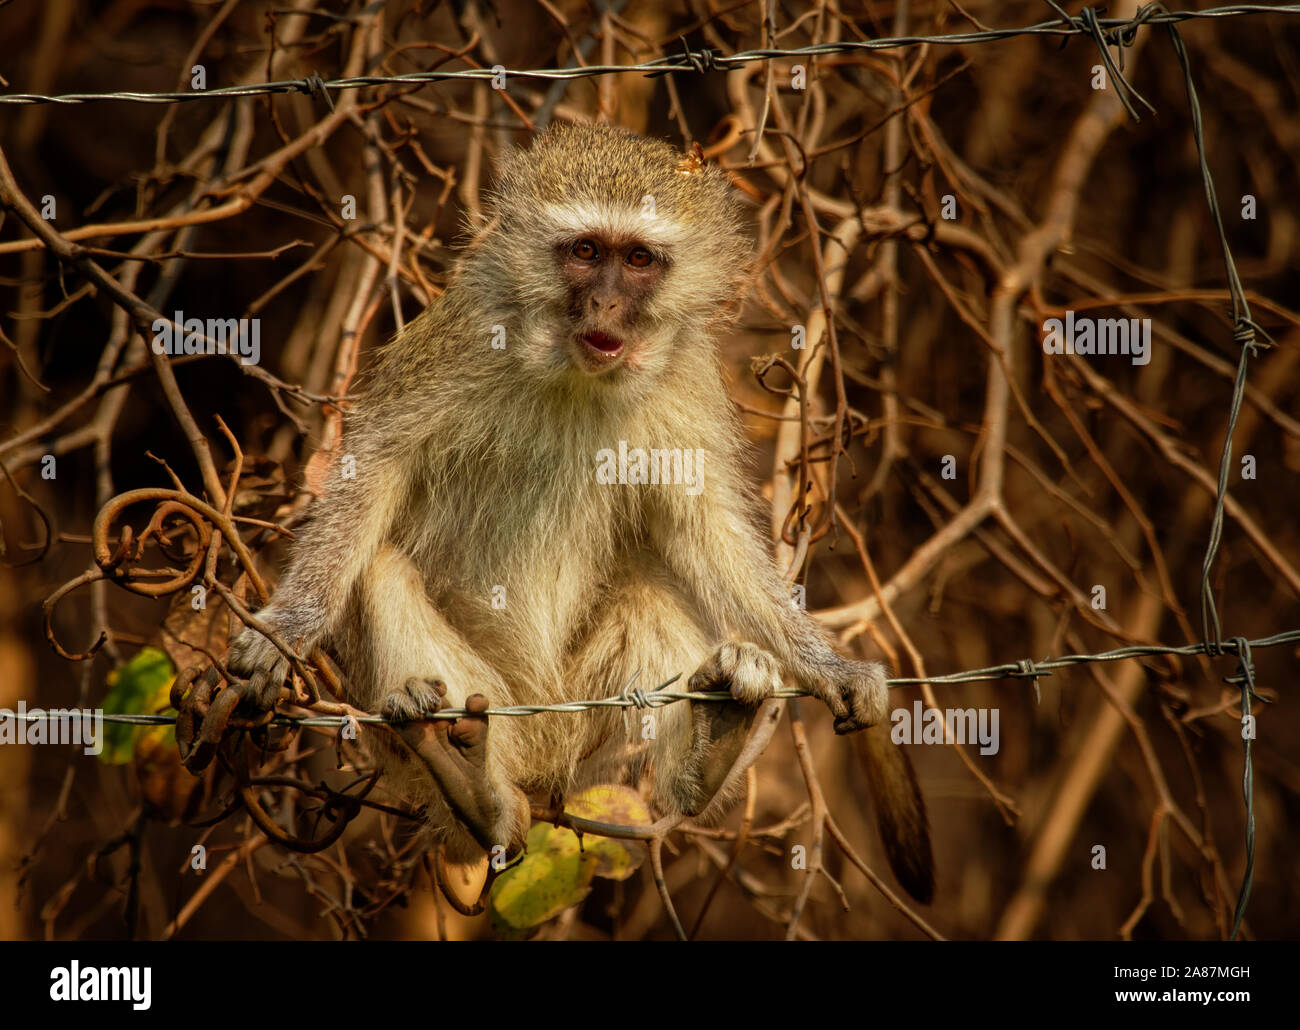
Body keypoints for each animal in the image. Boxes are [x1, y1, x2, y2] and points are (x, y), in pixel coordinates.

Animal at [197, 122, 934, 904]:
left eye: (638, 260)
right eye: (584, 252)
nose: (605, 308)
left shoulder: (685, 376)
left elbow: (702, 529)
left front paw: (827, 665)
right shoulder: (464, 335)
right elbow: (376, 470)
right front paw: (286, 631)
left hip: (589, 733)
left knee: (647, 588)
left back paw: (704, 756)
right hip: (480, 707)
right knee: (381, 575)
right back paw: (476, 795)